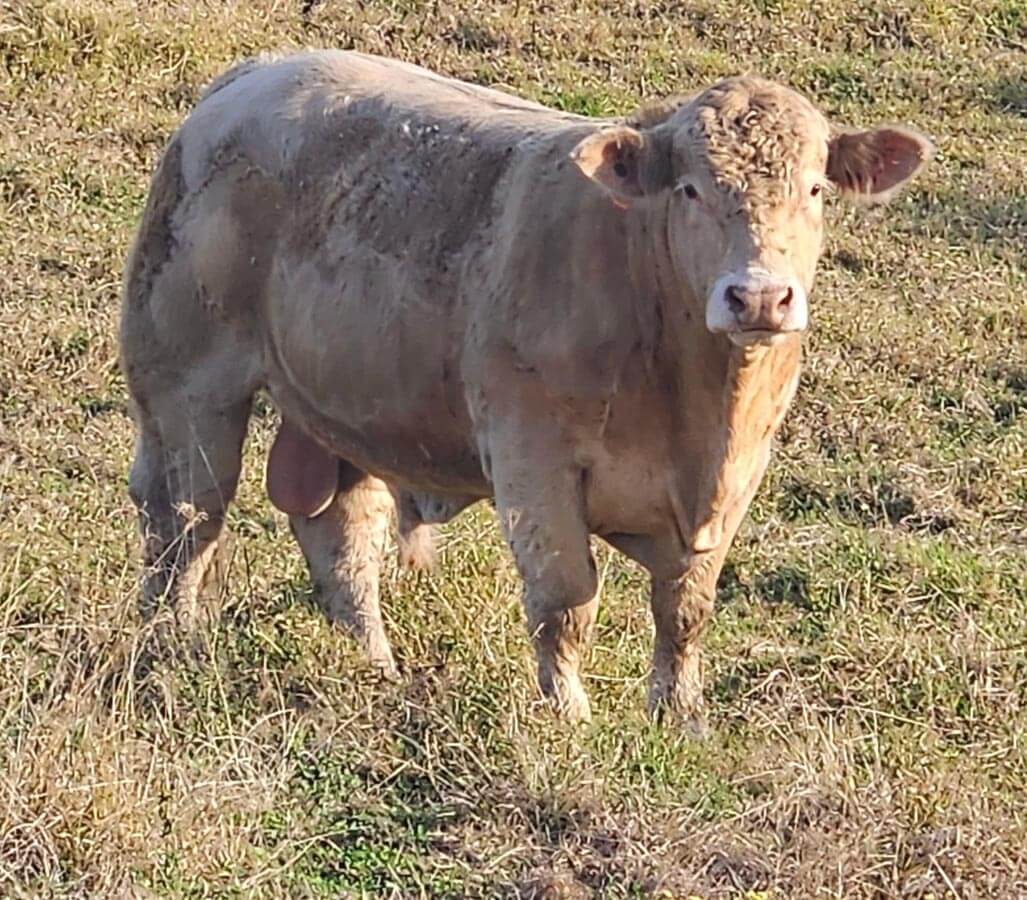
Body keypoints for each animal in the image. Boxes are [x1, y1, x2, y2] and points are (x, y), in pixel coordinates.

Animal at [121, 50, 933, 729]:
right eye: (690, 189)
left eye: (815, 188)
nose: (759, 297)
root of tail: (249, 77)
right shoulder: (533, 459)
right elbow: (564, 602)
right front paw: (568, 714)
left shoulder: (737, 481)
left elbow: (685, 610)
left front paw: (678, 716)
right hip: (187, 379)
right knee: (187, 522)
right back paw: (171, 645)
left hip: (344, 409)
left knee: (340, 538)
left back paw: (377, 671)